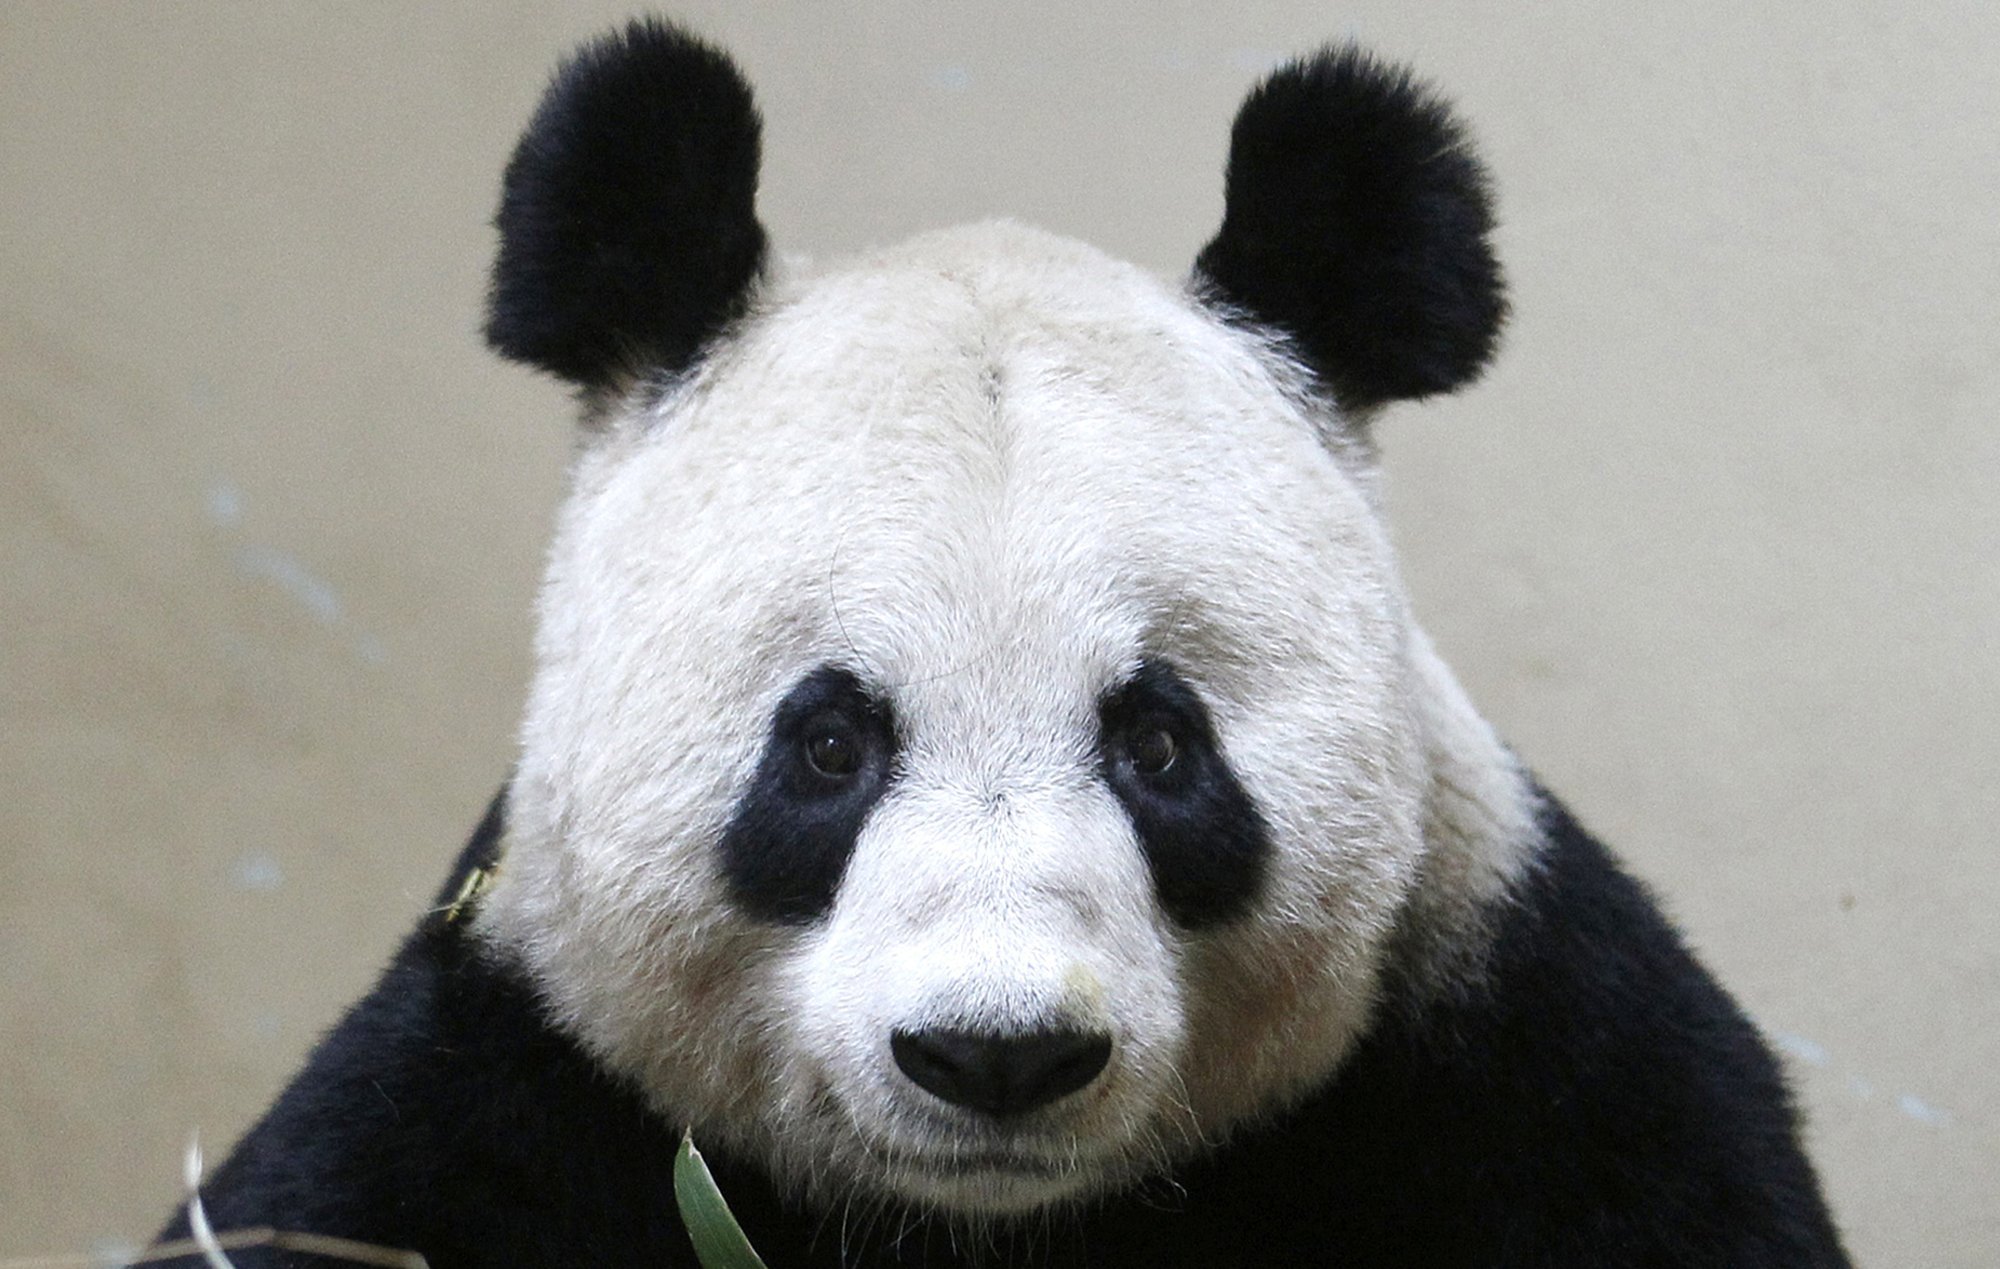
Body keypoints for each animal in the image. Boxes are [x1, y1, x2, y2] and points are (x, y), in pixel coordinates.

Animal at [160, 18, 1850, 1268]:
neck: (977, 1228)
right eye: (828, 743)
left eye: (1160, 740)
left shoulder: (1518, 1053)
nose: (998, 1055)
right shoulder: (503, 1079)